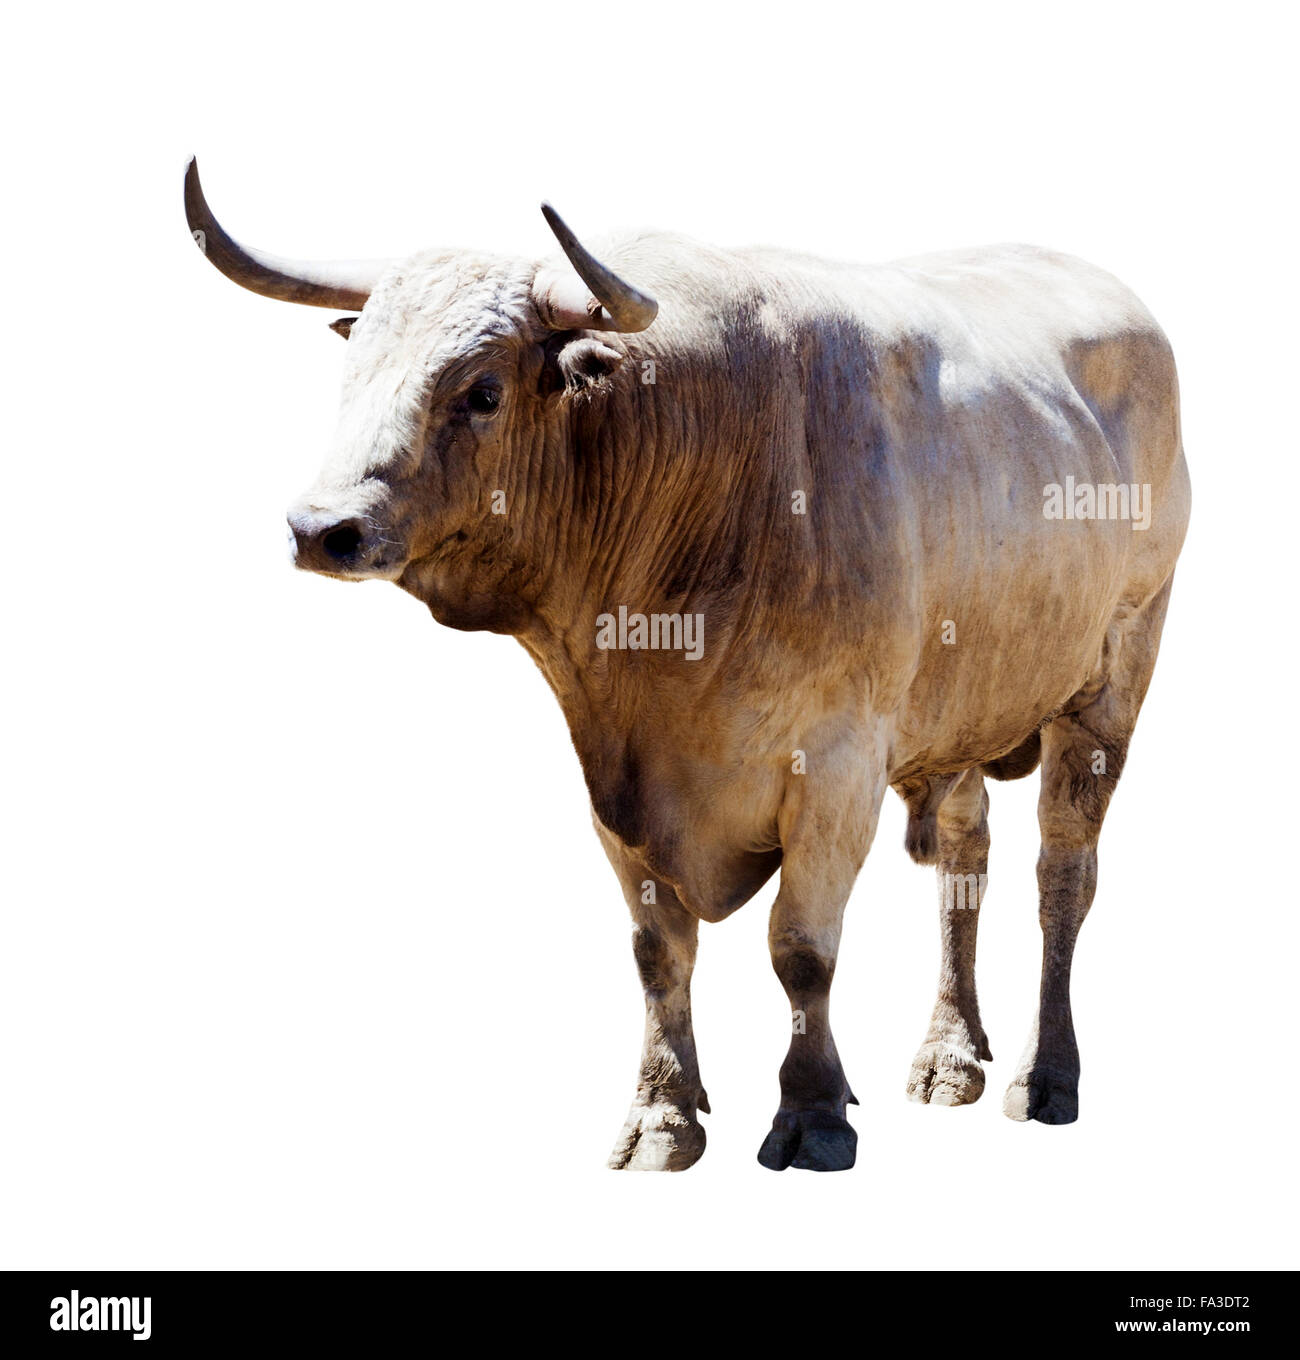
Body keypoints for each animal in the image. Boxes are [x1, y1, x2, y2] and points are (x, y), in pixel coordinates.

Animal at [184, 158, 1190, 1172]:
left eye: (482, 390)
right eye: (353, 369)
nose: (323, 527)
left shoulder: (837, 768)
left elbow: (802, 948)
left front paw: (813, 1113)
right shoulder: (618, 786)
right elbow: (657, 950)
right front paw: (663, 1113)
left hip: (1113, 675)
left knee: (1063, 873)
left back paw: (1046, 1073)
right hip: (967, 704)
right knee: (963, 860)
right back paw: (949, 1054)